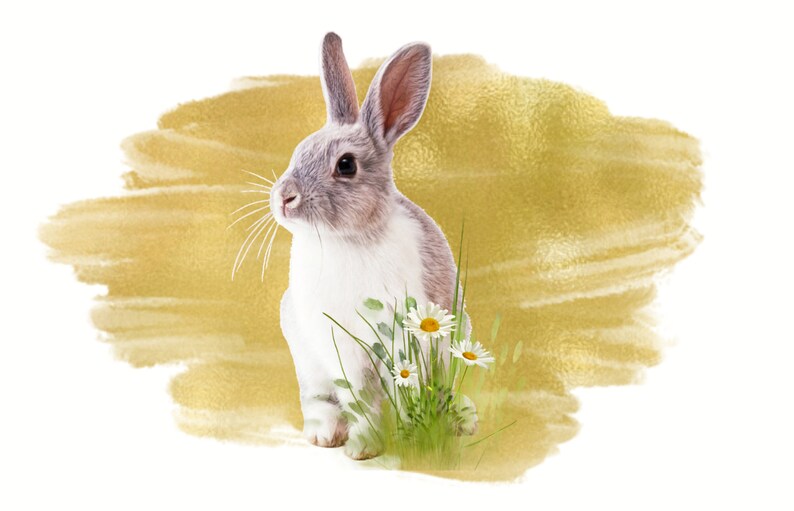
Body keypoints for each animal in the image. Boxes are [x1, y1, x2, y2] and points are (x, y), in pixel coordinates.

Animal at [270, 32, 468, 460]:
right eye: (298, 151)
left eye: (346, 165)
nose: (284, 197)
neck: (347, 238)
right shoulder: (339, 345)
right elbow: (359, 396)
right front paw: (364, 447)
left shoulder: (408, 332)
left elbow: (404, 386)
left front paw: (407, 436)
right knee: (319, 399)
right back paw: (325, 434)